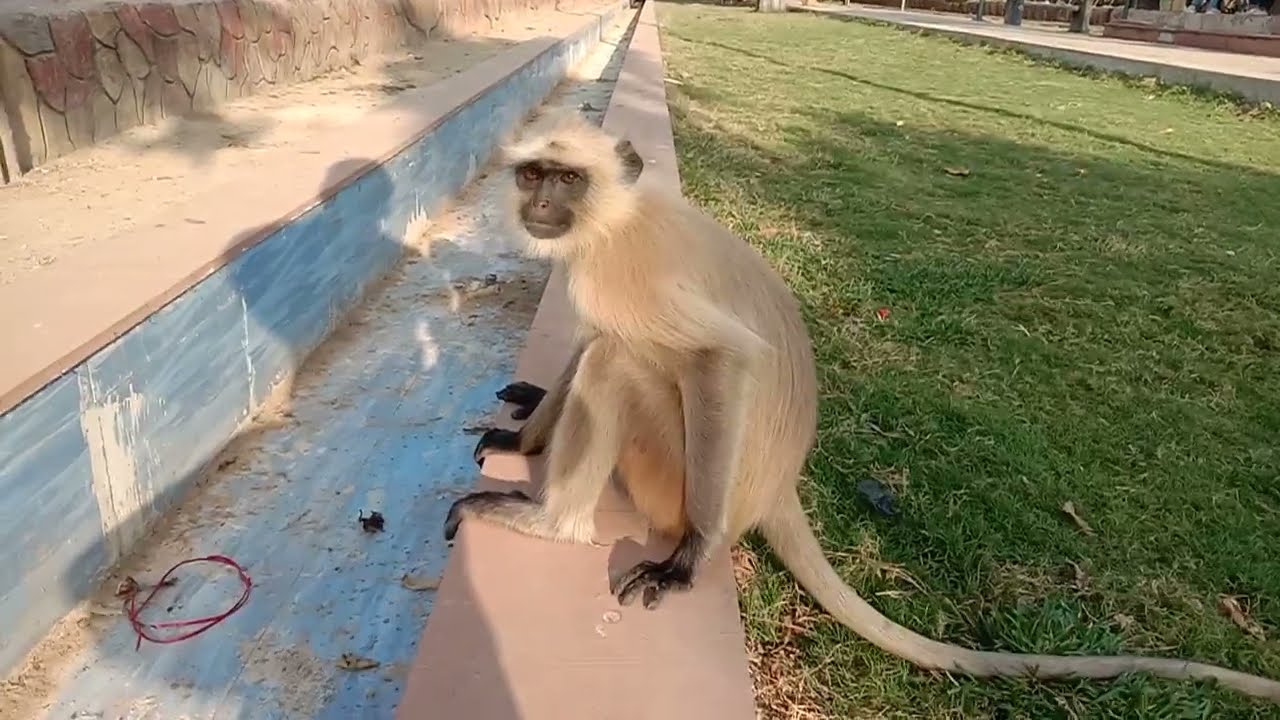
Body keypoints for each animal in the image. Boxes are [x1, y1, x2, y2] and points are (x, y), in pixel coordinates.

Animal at [443, 109, 1280, 703]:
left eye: (566, 180)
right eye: (533, 174)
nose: (540, 201)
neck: (618, 217)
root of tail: (776, 489)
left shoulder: (625, 274)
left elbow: (720, 358)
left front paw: (687, 558)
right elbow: (588, 346)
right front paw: (520, 433)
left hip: (668, 475)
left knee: (620, 363)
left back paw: (555, 524)